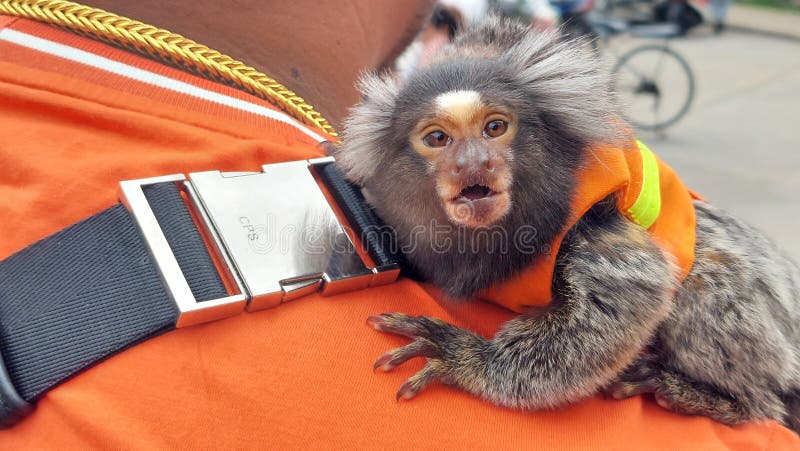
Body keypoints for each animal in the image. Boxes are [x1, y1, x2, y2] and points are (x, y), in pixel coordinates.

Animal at [332, 16, 800, 432]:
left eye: (495, 127)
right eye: (437, 138)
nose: (474, 163)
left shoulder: (595, 224)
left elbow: (621, 307)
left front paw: (466, 357)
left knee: (711, 290)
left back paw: (717, 398)